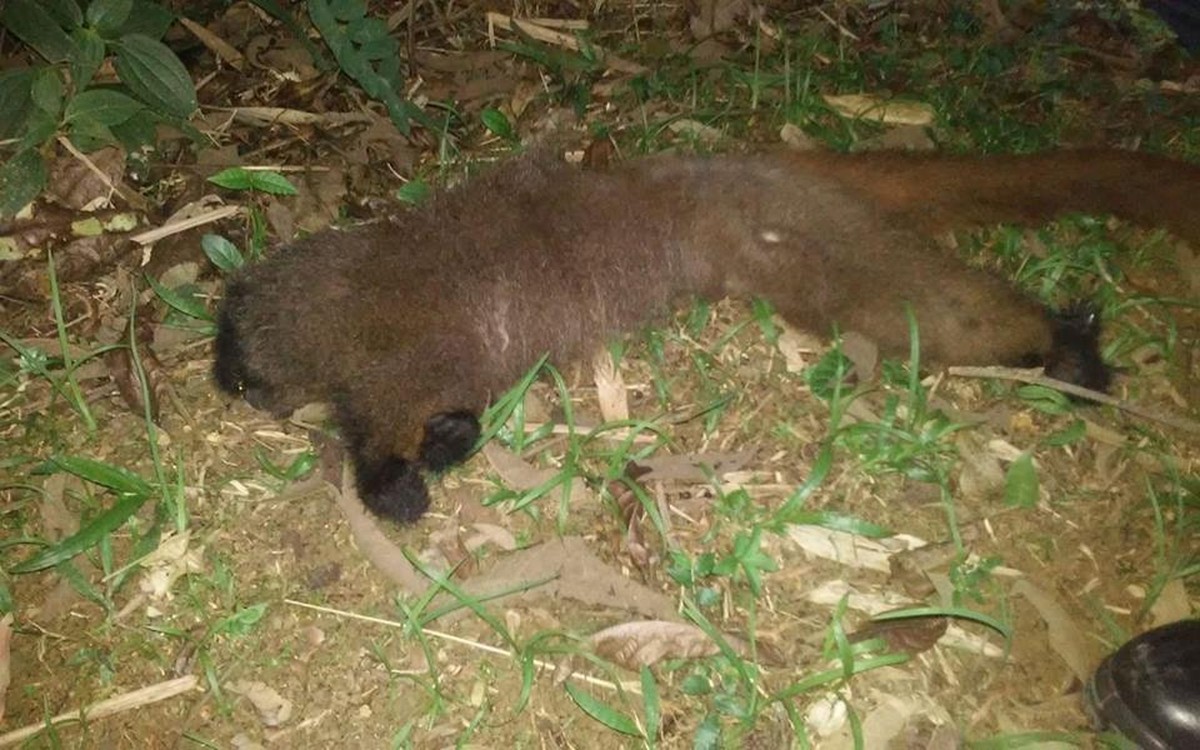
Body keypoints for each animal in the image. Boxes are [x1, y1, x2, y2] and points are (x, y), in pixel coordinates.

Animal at [213, 147, 1200, 522]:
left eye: (237, 367)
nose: (232, 386)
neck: (337, 306)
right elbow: (441, 424)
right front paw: (449, 444)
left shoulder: (393, 369)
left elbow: (383, 444)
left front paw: (395, 485)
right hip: (797, 250)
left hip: (799, 245)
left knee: (937, 309)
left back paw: (1065, 346)